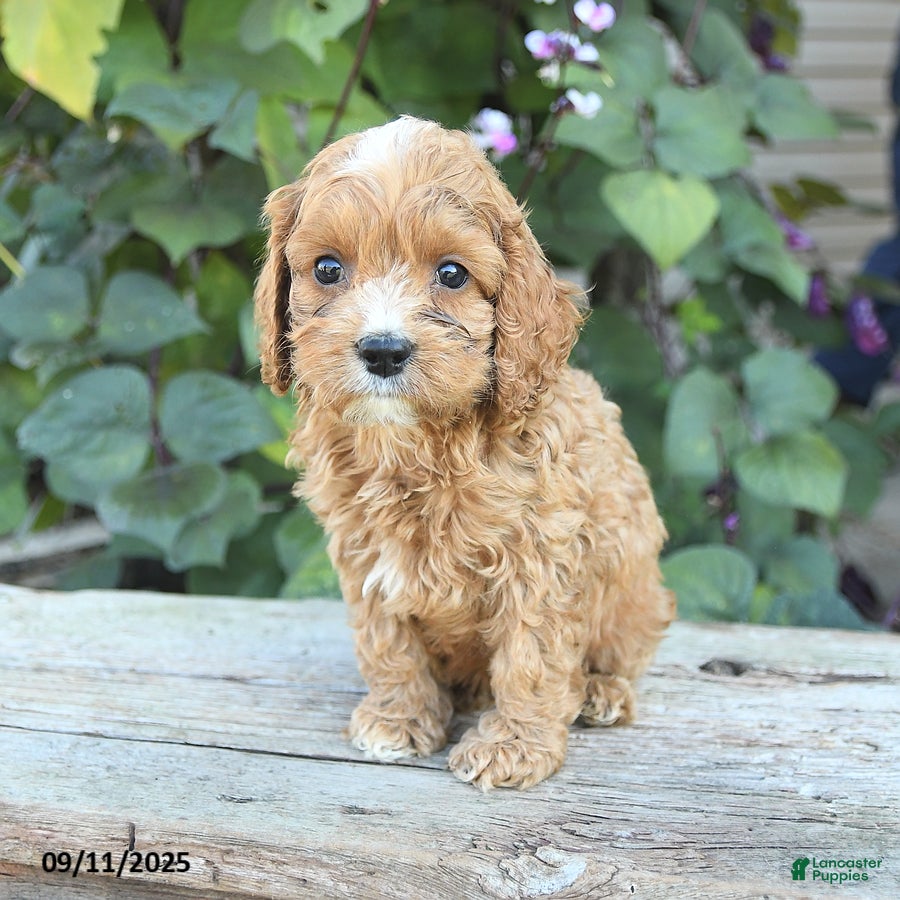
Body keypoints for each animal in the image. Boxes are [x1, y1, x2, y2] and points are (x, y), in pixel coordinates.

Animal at [255, 116, 674, 790]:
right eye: (327, 269)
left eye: (452, 274)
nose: (382, 350)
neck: (417, 443)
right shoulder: (364, 550)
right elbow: (387, 641)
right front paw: (398, 718)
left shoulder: (540, 555)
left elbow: (531, 656)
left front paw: (515, 746)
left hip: (635, 602)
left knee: (617, 657)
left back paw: (599, 693)